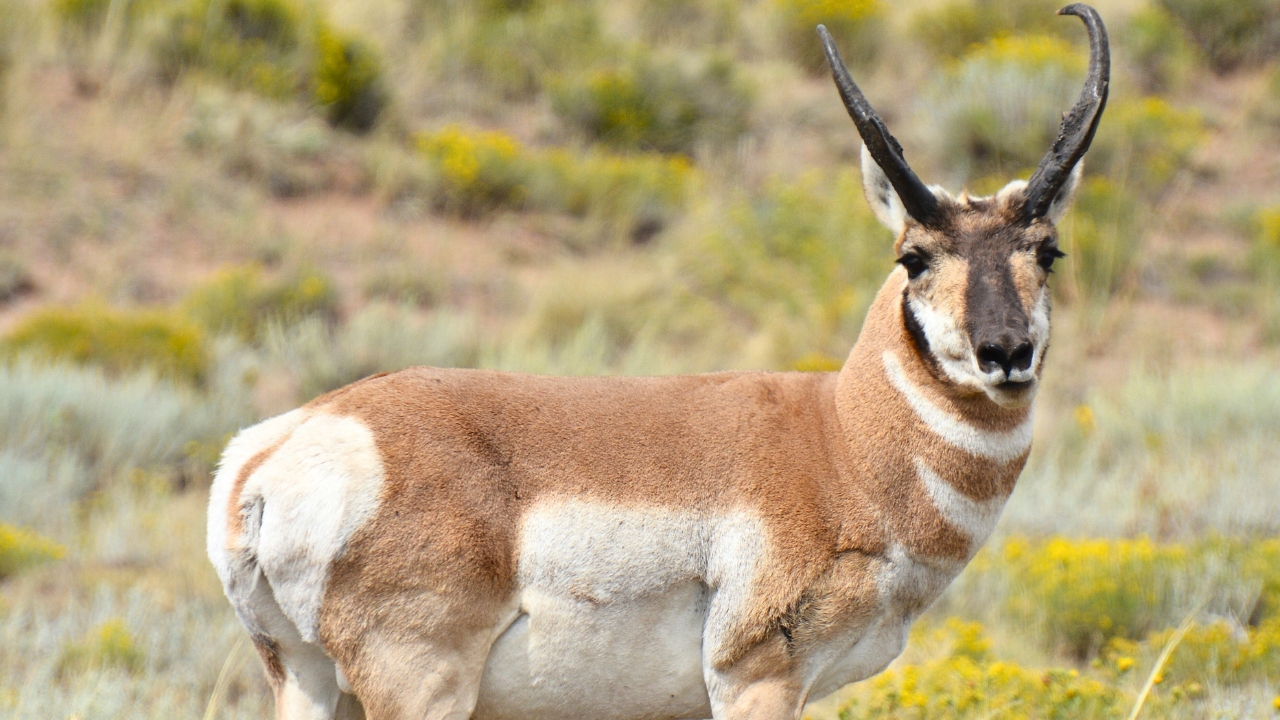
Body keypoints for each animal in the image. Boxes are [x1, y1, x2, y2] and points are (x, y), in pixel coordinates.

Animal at [207, 6, 1109, 719]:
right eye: (914, 256)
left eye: (1048, 251)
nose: (1006, 354)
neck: (841, 440)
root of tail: (280, 448)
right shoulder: (757, 680)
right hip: (420, 688)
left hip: (310, 686)